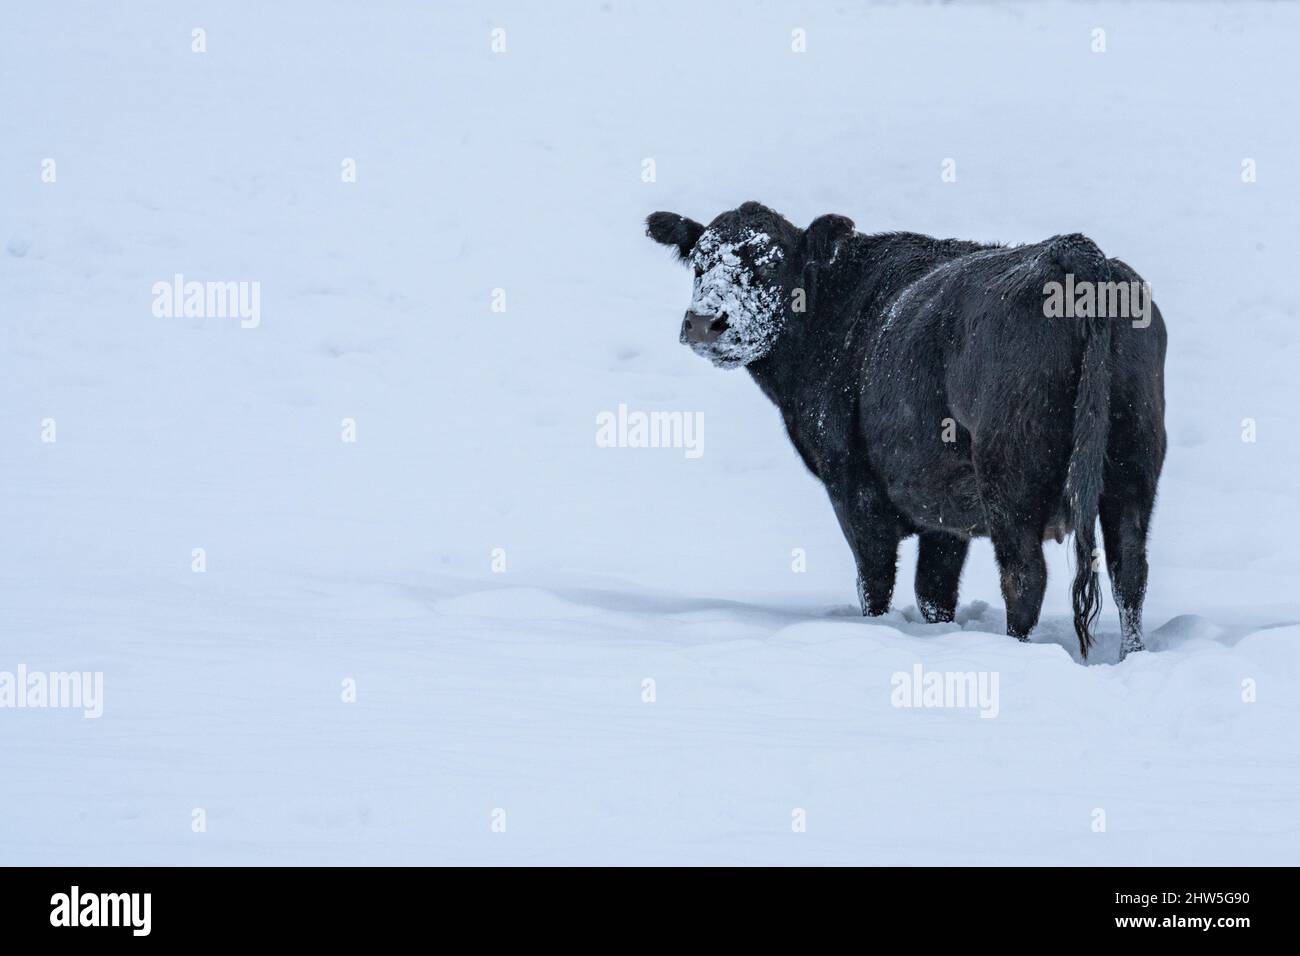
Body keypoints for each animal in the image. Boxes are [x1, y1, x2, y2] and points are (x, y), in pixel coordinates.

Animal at [646, 202, 1166, 660]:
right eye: (699, 262)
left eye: (770, 264)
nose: (704, 322)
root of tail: (1072, 250)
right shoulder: (944, 506)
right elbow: (935, 591)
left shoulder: (852, 487)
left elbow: (875, 580)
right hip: (1133, 464)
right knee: (1130, 570)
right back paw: (1132, 656)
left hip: (1010, 475)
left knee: (1024, 576)